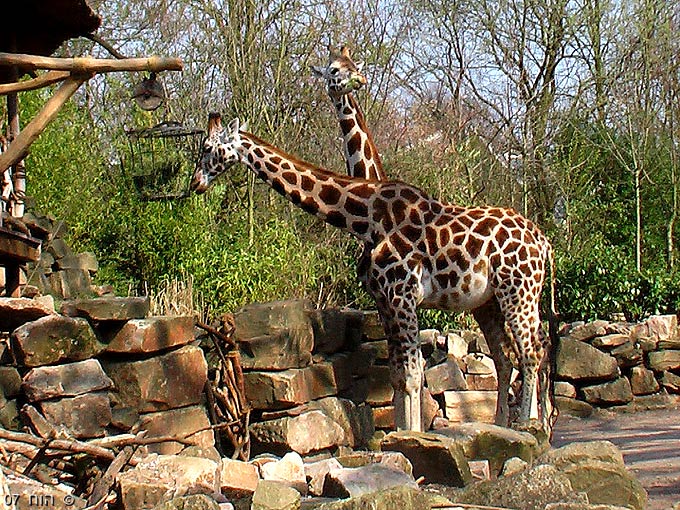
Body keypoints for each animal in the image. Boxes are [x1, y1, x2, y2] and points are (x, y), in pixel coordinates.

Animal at [191, 113, 558, 433]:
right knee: (507, 358)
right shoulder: (384, 300)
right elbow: (397, 374)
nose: (195, 183)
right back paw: (504, 425)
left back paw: (527, 425)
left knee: (532, 352)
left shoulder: (402, 294)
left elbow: (413, 373)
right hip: (488, 302)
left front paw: (413, 435)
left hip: (519, 292)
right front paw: (401, 433)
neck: (364, 218)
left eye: (208, 148)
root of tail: (544, 242)